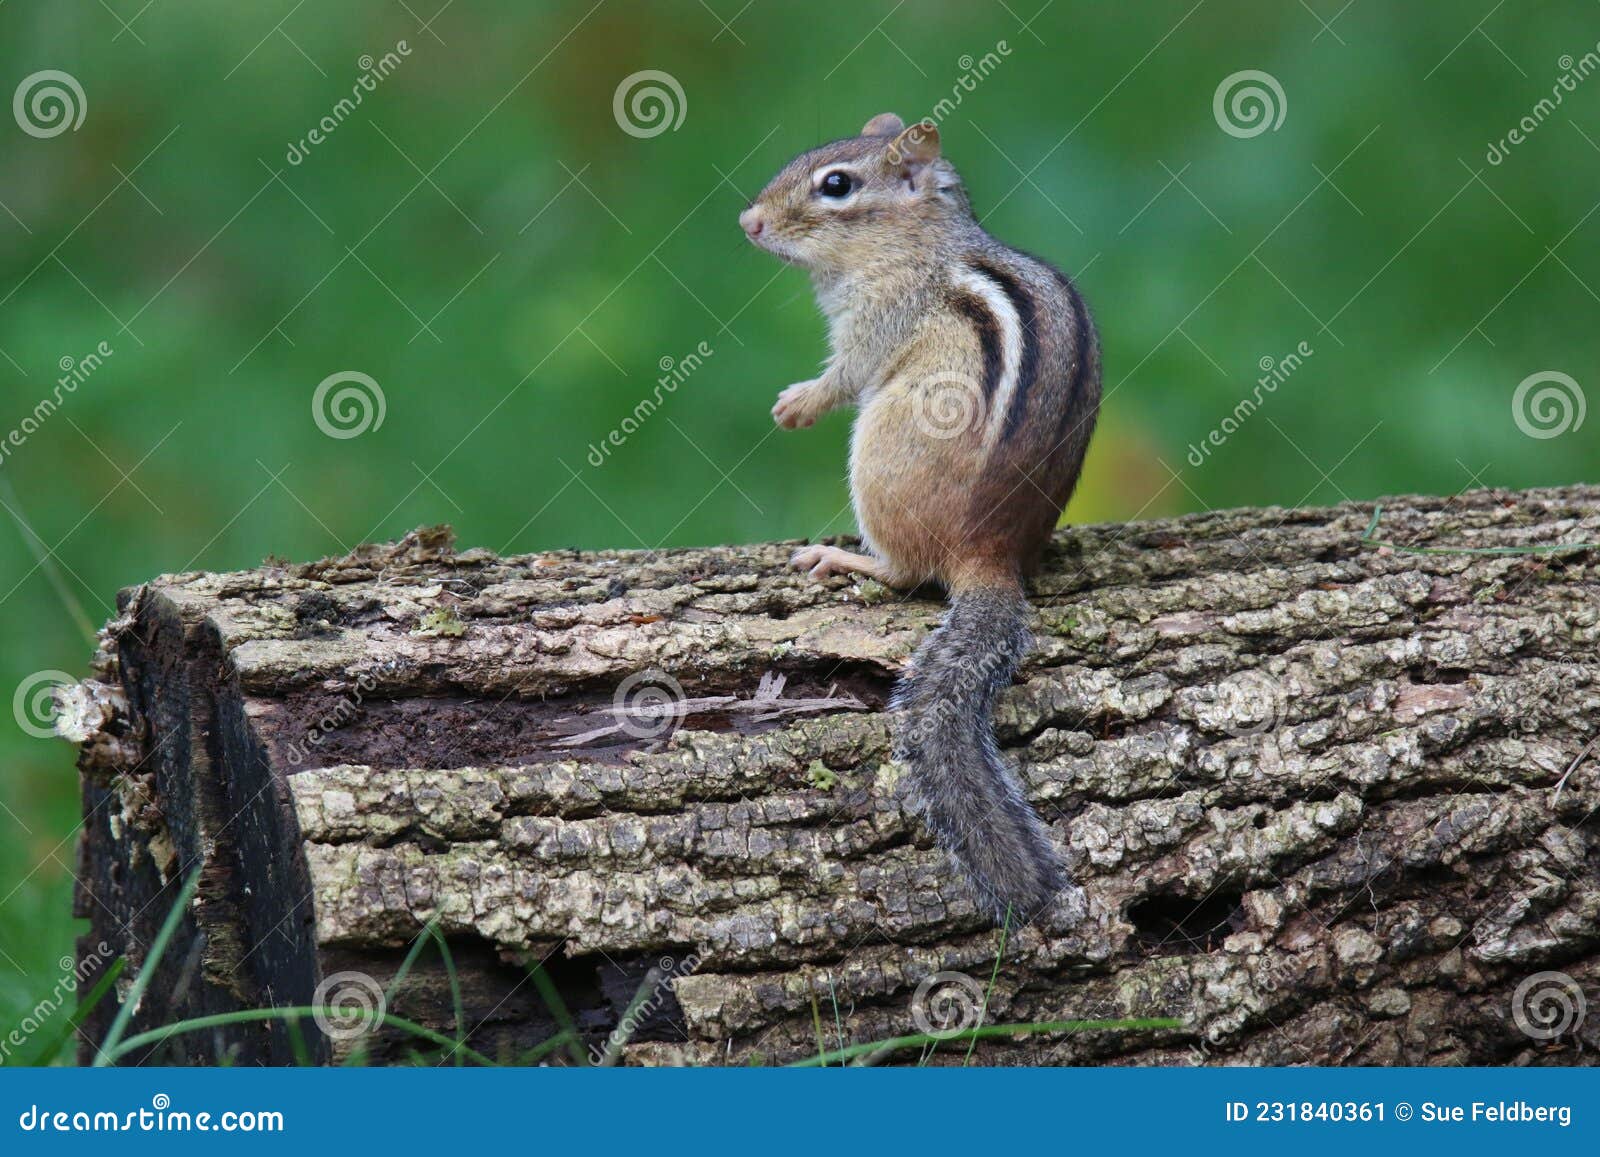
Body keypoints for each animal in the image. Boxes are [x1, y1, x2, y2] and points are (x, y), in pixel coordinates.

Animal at [739, 112, 1101, 924]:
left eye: (836, 184)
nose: (749, 222)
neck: (917, 241)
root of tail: (989, 553)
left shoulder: (881, 315)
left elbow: (846, 372)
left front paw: (796, 405)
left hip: (876, 449)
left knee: (906, 571)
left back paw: (846, 556)